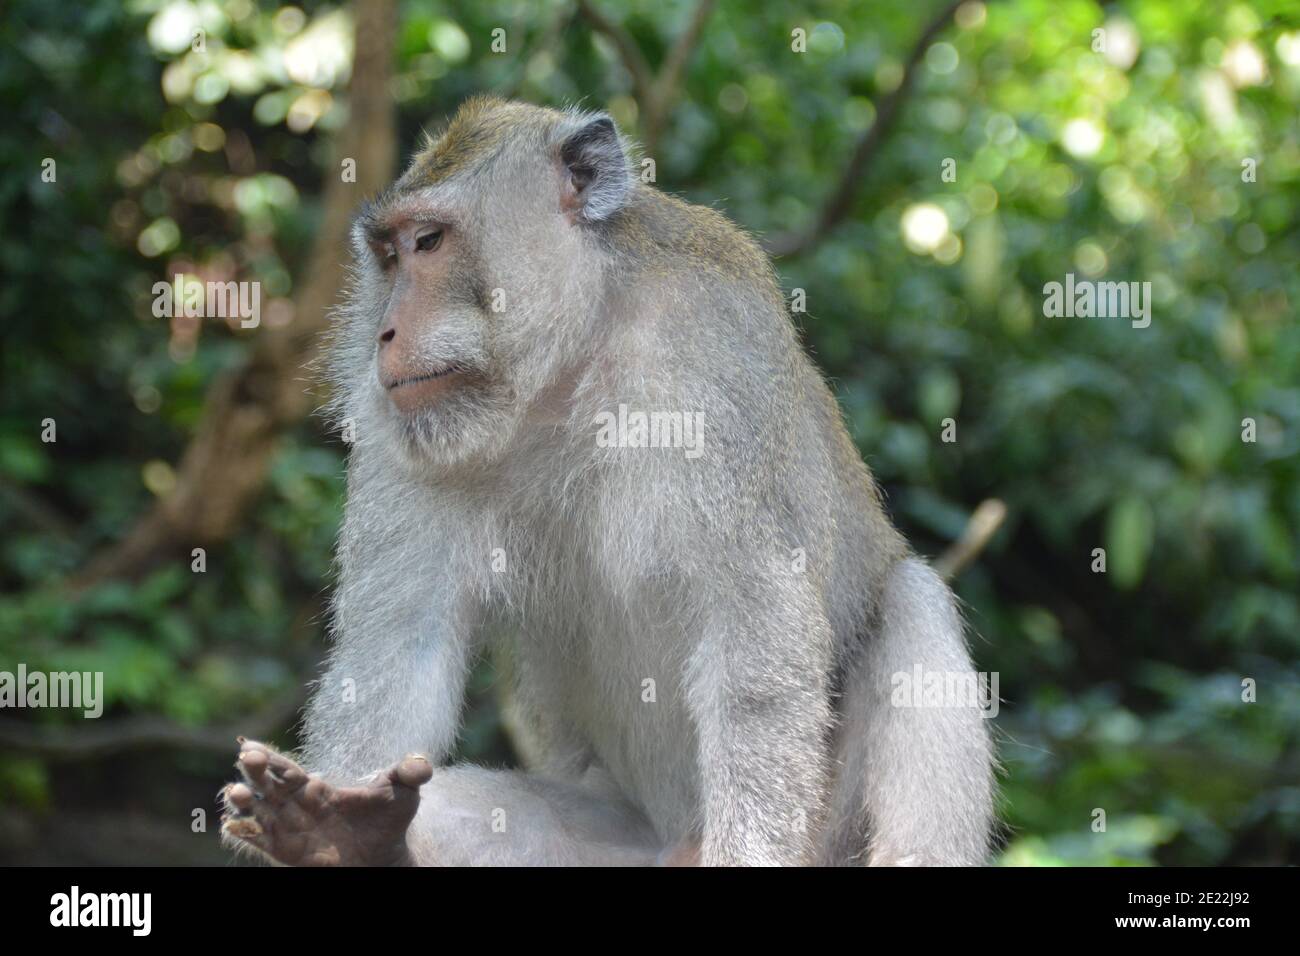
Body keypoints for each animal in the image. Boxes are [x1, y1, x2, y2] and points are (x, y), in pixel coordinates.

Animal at [221, 96, 995, 867]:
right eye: (387, 255)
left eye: (430, 242)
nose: (384, 332)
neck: (569, 364)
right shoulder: (405, 433)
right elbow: (401, 645)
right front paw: (333, 825)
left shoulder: (710, 356)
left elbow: (755, 631)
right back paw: (358, 841)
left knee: (914, 603)